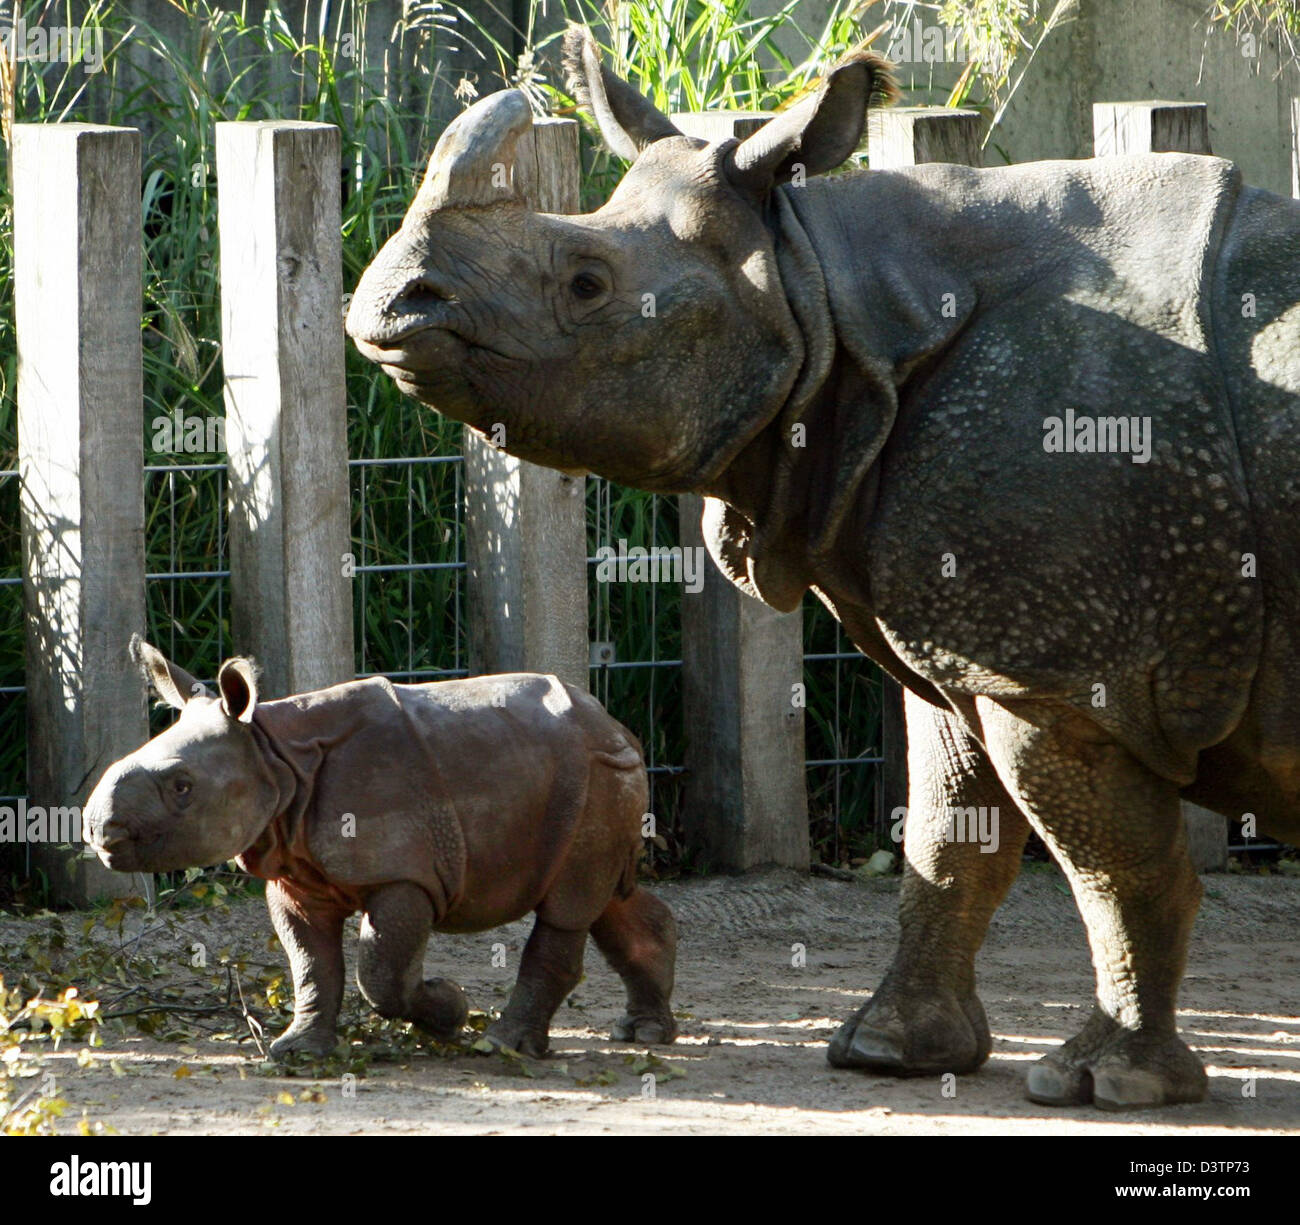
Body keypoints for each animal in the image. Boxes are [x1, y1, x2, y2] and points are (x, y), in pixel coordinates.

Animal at [84, 637, 677, 1059]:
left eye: (182, 788)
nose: (97, 829)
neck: (274, 754)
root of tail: (615, 723)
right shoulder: (293, 871)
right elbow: (311, 962)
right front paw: (297, 1053)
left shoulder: (405, 871)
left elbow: (382, 974)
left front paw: (450, 1010)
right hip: (585, 772)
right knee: (607, 898)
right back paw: (645, 1033)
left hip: (596, 773)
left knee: (567, 906)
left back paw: (505, 1047)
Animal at [345, 25, 1300, 1109]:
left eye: (587, 283)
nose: (395, 306)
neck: (821, 290)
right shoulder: (978, 643)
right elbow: (948, 840)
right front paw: (889, 1051)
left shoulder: (1054, 667)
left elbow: (1116, 868)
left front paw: (1104, 1083)